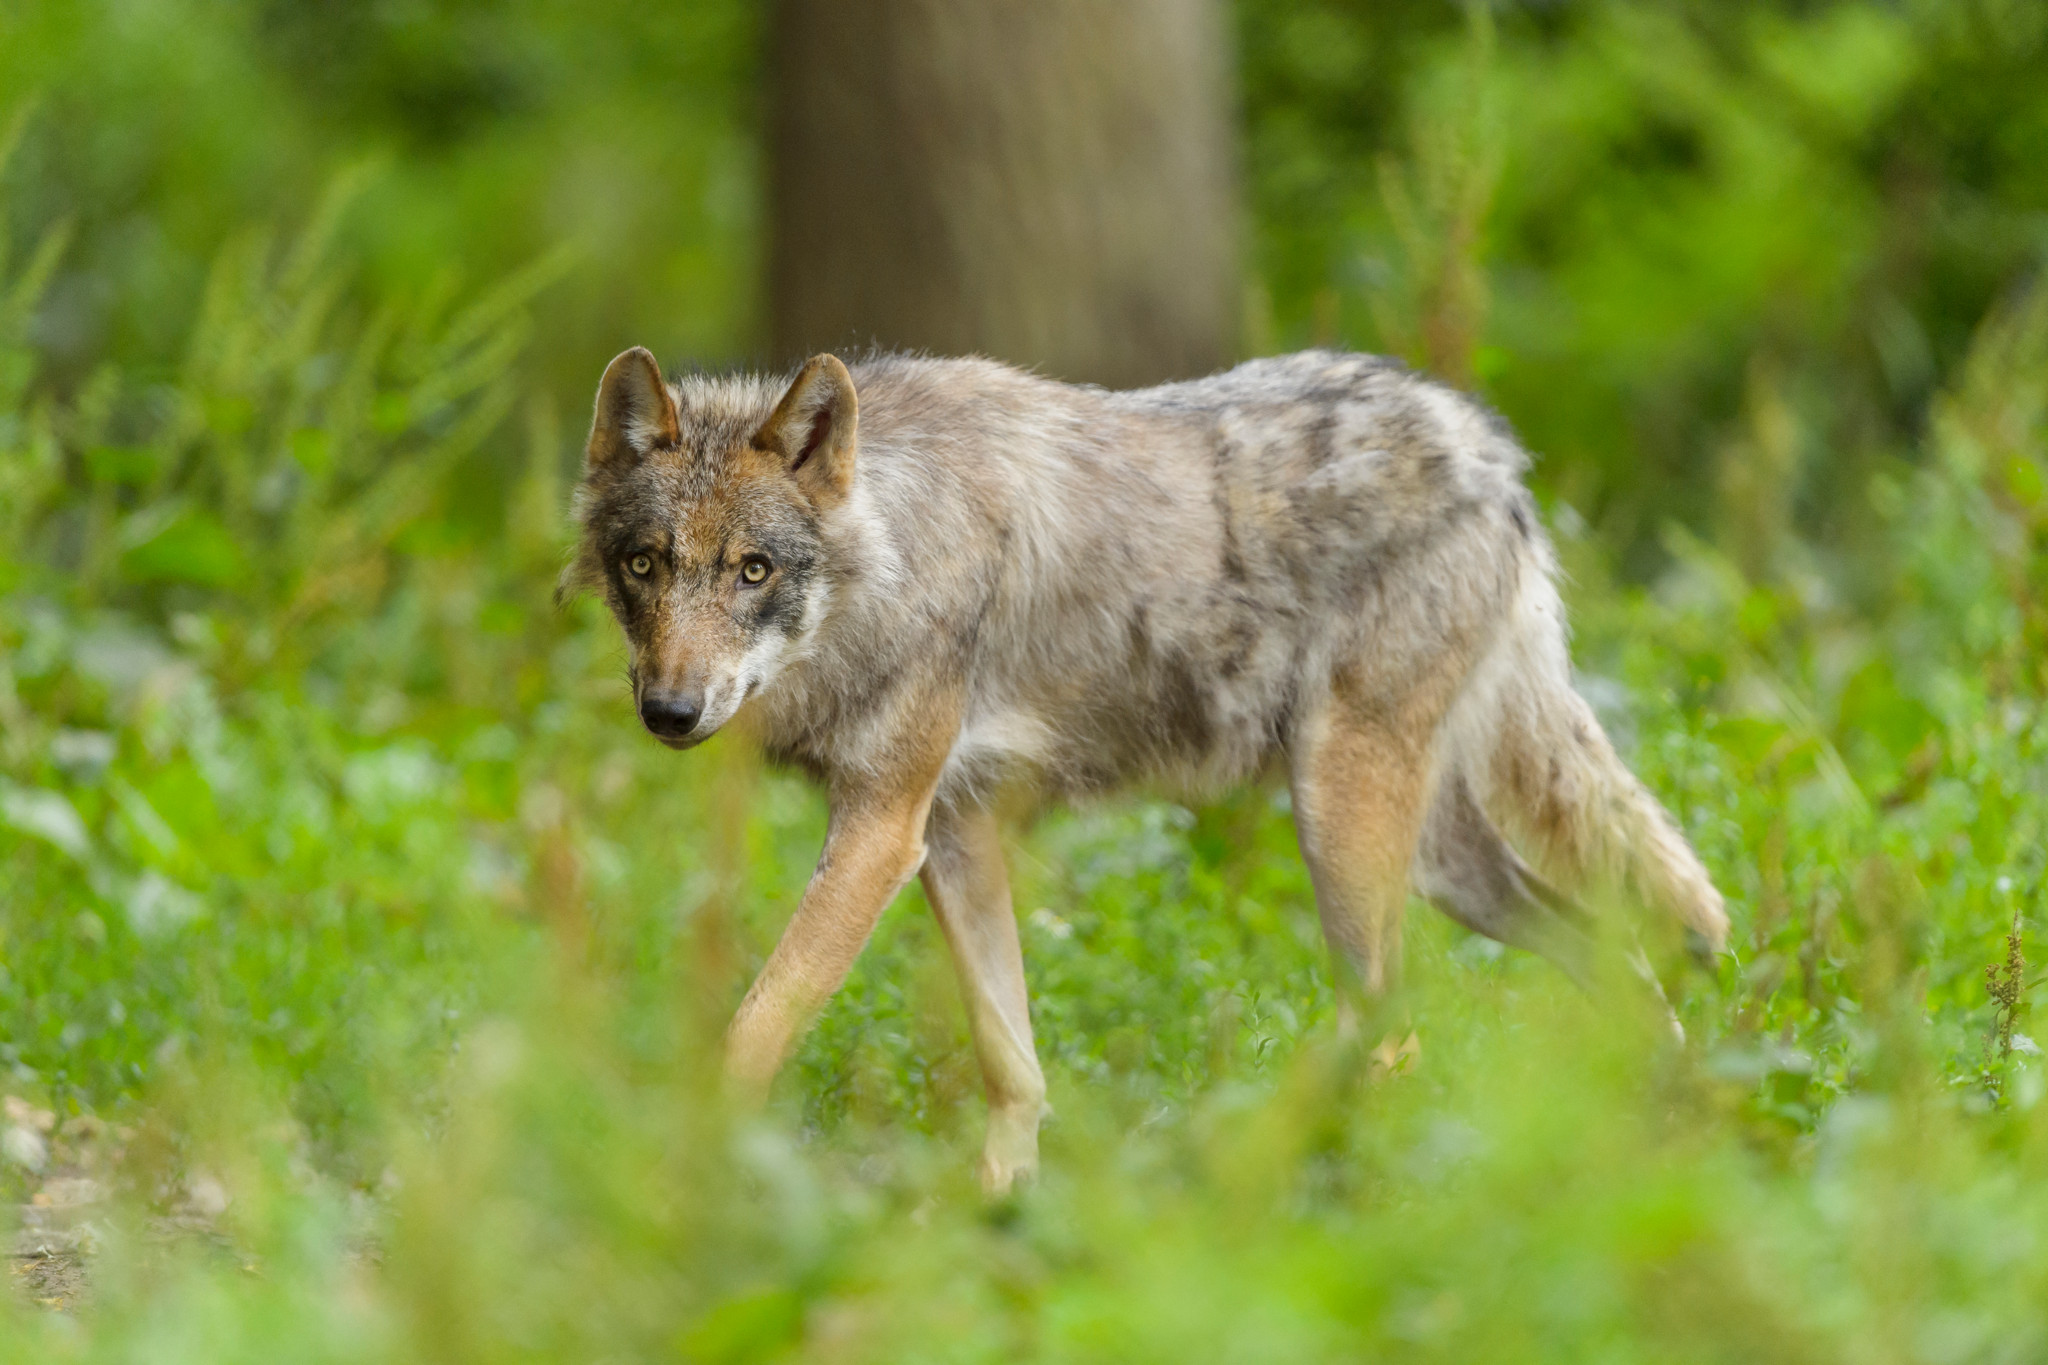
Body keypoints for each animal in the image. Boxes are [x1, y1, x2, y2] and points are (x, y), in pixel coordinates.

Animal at [567, 346, 1728, 1190]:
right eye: (645, 566)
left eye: (752, 570)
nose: (669, 711)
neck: (894, 556)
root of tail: (1486, 449)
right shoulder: (951, 833)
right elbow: (1013, 1062)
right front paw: (998, 1214)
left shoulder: (881, 831)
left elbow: (753, 1029)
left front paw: (683, 1174)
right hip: (1443, 864)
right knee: (1619, 956)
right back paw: (1664, 1145)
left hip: (1341, 829)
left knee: (1397, 1027)